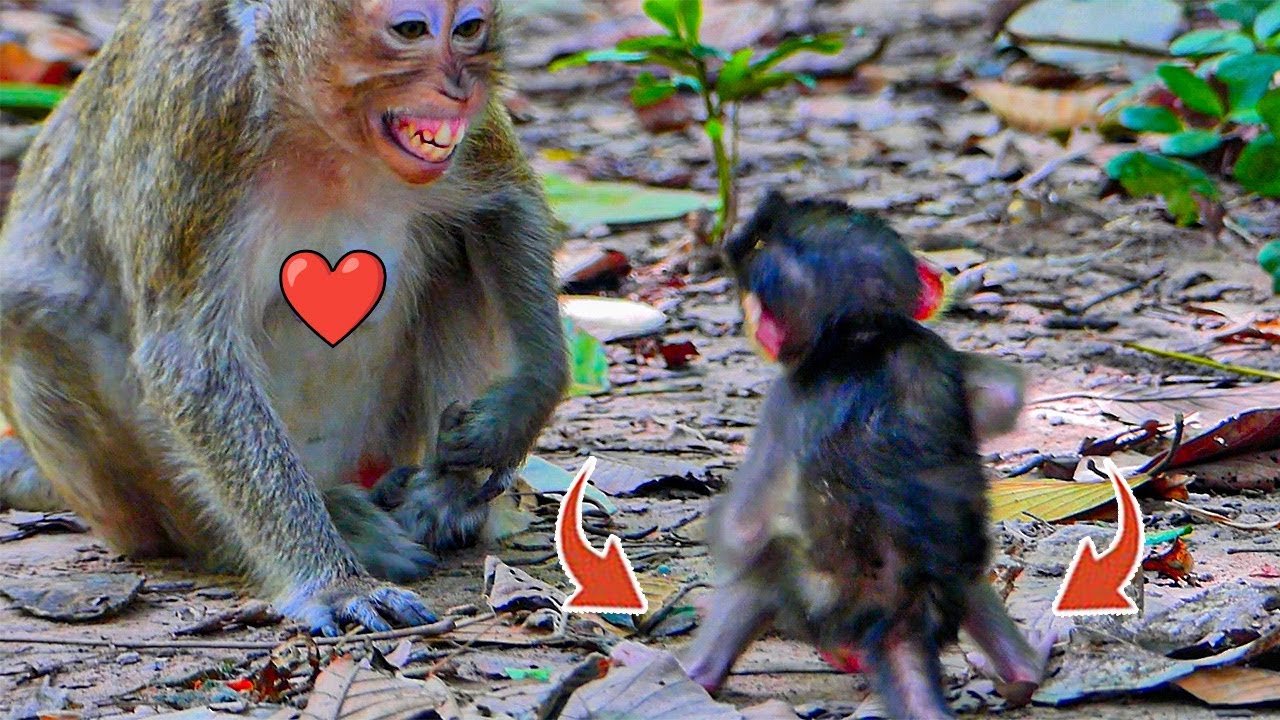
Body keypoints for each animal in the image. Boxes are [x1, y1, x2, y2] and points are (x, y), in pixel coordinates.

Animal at [0, 0, 569, 637]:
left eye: (469, 28)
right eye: (411, 29)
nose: (461, 87)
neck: (310, 119)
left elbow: (505, 205)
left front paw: (517, 406)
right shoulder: (198, 121)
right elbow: (190, 360)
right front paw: (335, 582)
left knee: (455, 243)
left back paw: (444, 498)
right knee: (42, 321)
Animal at [680, 193, 1045, 719]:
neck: (861, 337)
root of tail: (901, 615)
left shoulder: (786, 398)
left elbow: (742, 531)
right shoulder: (930, 347)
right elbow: (1005, 396)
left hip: (817, 605)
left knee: (768, 561)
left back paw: (692, 672)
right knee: (974, 582)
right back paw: (1024, 670)